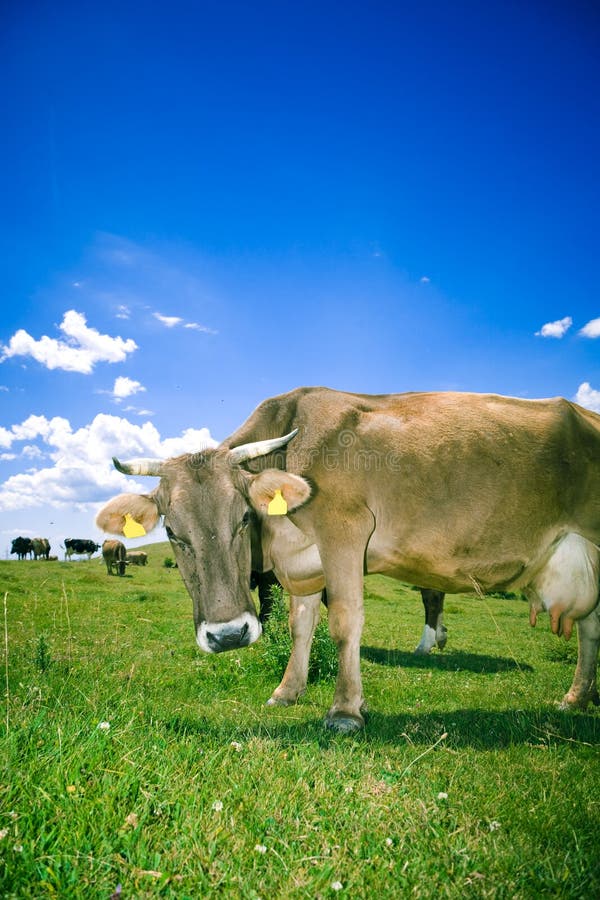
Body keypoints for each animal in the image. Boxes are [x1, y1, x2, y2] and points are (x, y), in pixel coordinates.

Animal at [96, 387, 600, 733]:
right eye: (173, 533)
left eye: (243, 517)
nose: (229, 636)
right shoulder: (305, 563)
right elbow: (301, 624)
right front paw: (287, 691)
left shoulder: (344, 531)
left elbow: (343, 620)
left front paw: (345, 710)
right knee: (590, 625)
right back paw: (576, 699)